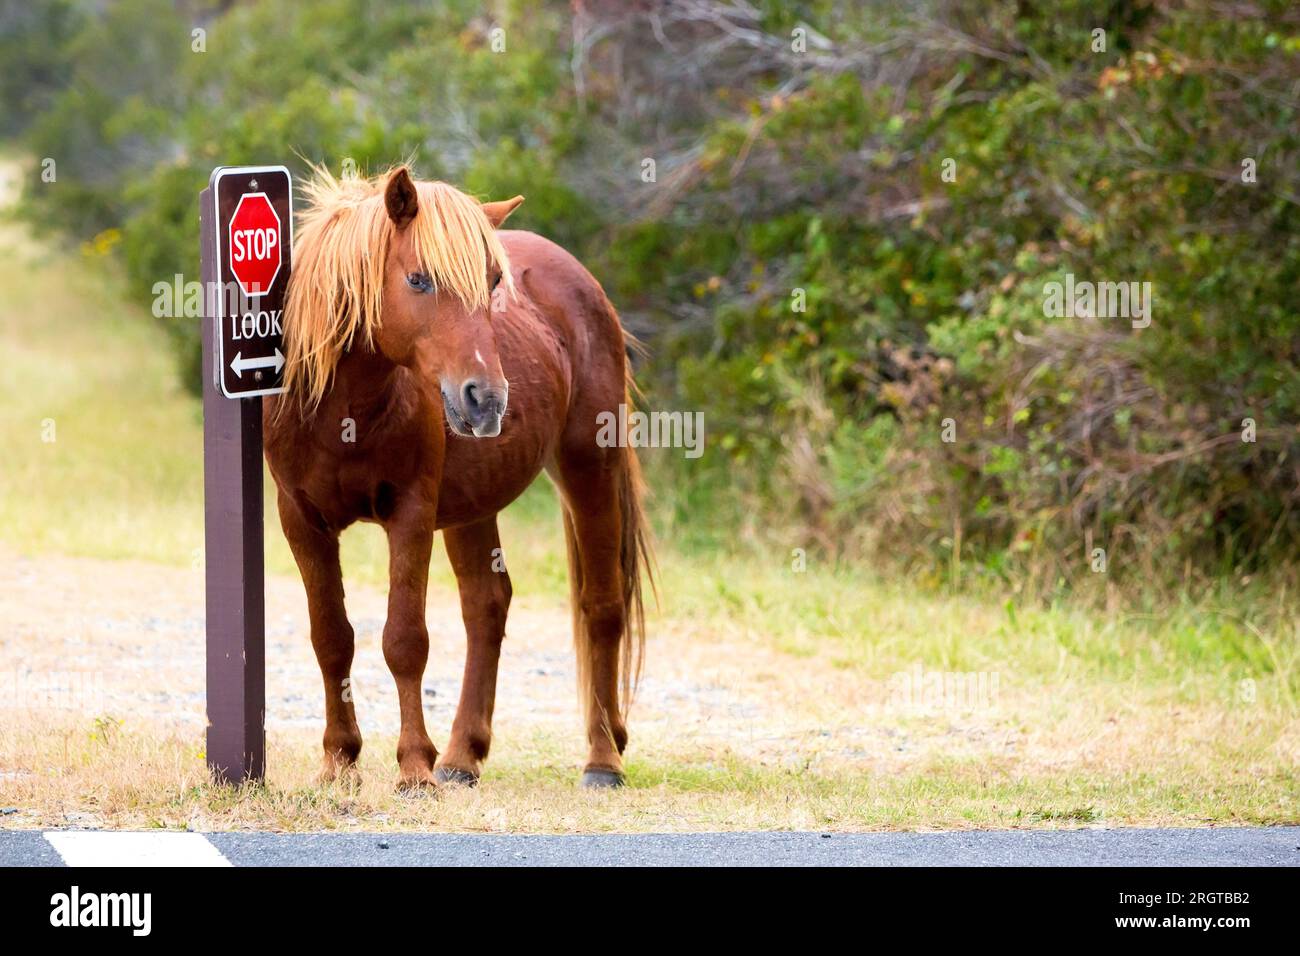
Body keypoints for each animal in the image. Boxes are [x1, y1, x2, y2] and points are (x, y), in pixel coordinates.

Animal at [264, 165, 653, 789]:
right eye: (419, 279)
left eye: (494, 281)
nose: (486, 399)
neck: (343, 411)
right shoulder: (301, 519)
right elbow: (331, 637)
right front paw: (339, 761)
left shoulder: (411, 513)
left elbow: (404, 640)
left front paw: (413, 769)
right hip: (475, 506)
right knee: (487, 606)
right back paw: (463, 755)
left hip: (588, 469)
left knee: (601, 607)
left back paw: (602, 759)